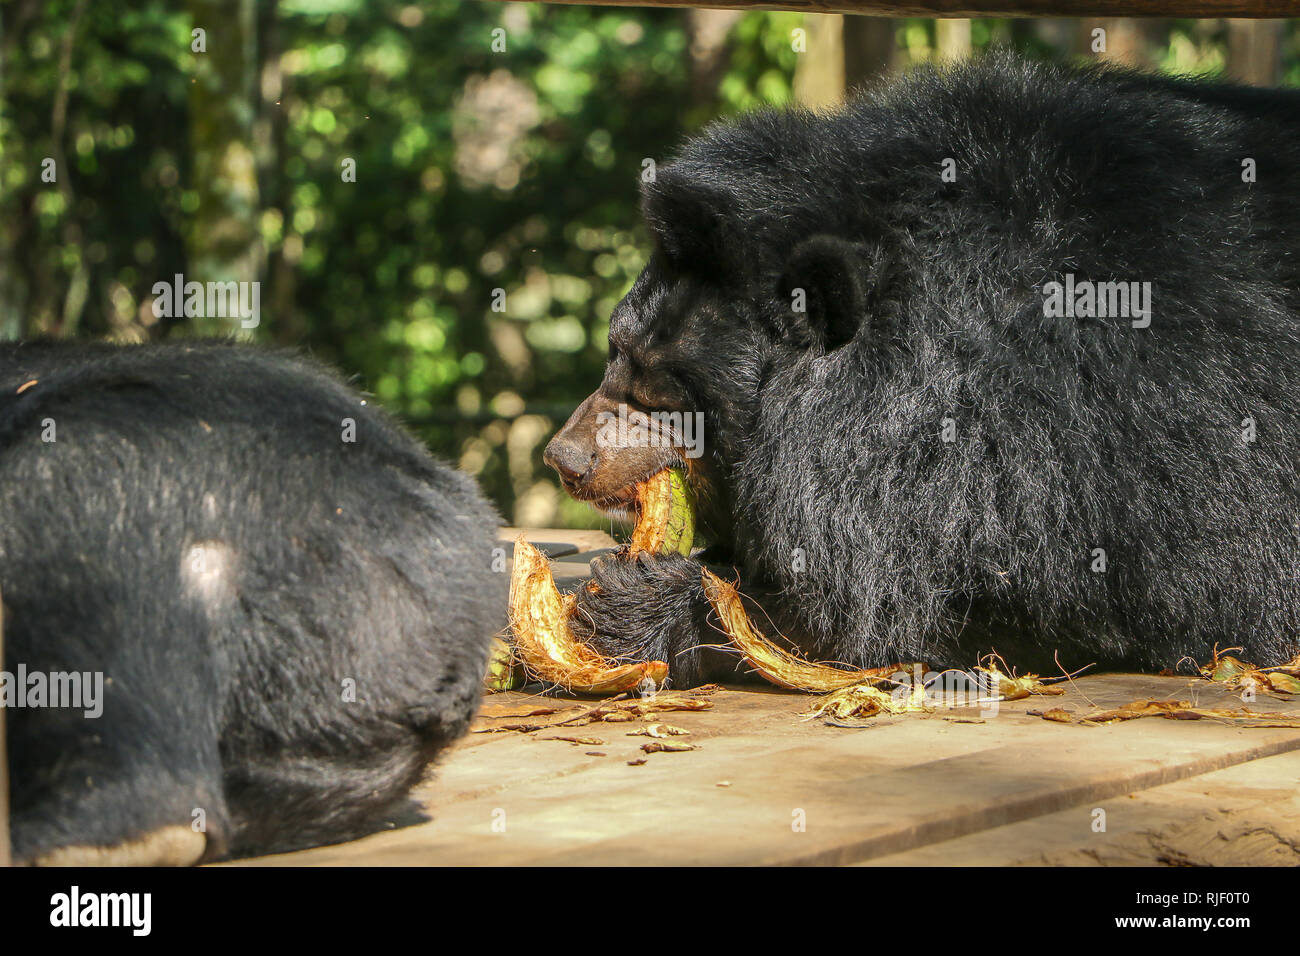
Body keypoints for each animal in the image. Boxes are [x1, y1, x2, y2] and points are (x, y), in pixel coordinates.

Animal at [544, 54, 1300, 688]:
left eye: (660, 392)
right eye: (615, 352)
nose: (564, 459)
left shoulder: (1118, 441)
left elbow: (920, 601)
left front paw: (639, 607)